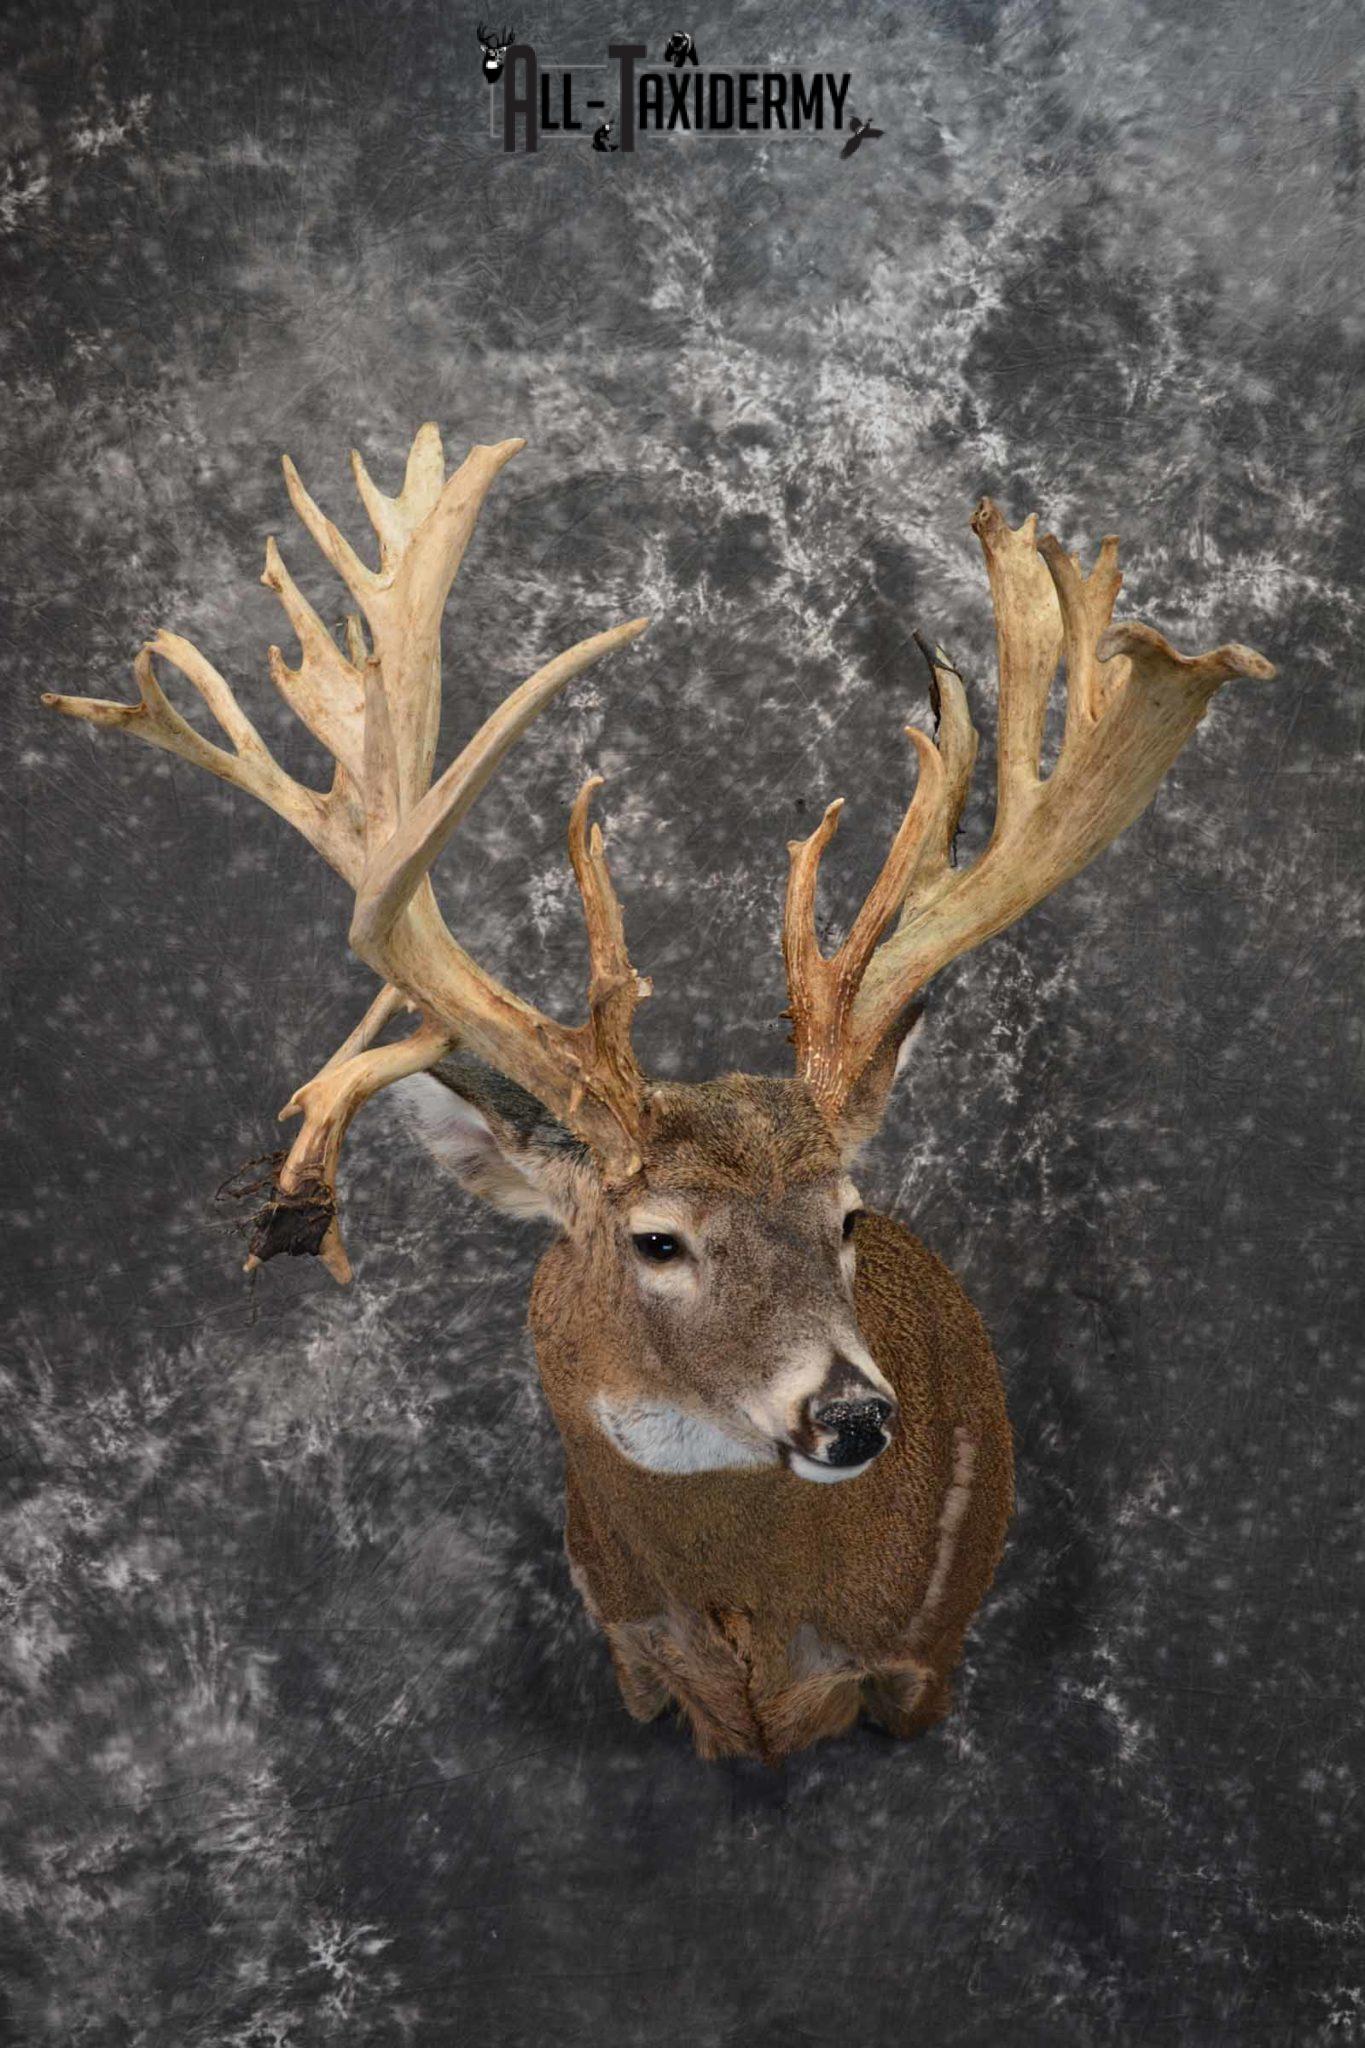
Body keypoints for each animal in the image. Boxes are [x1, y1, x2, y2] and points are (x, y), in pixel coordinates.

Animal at [44, 424, 1274, 1762]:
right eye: (657, 1239)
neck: (759, 1639)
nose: (851, 1414)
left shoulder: (924, 1650)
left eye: (848, 1213)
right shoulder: (631, 1646)